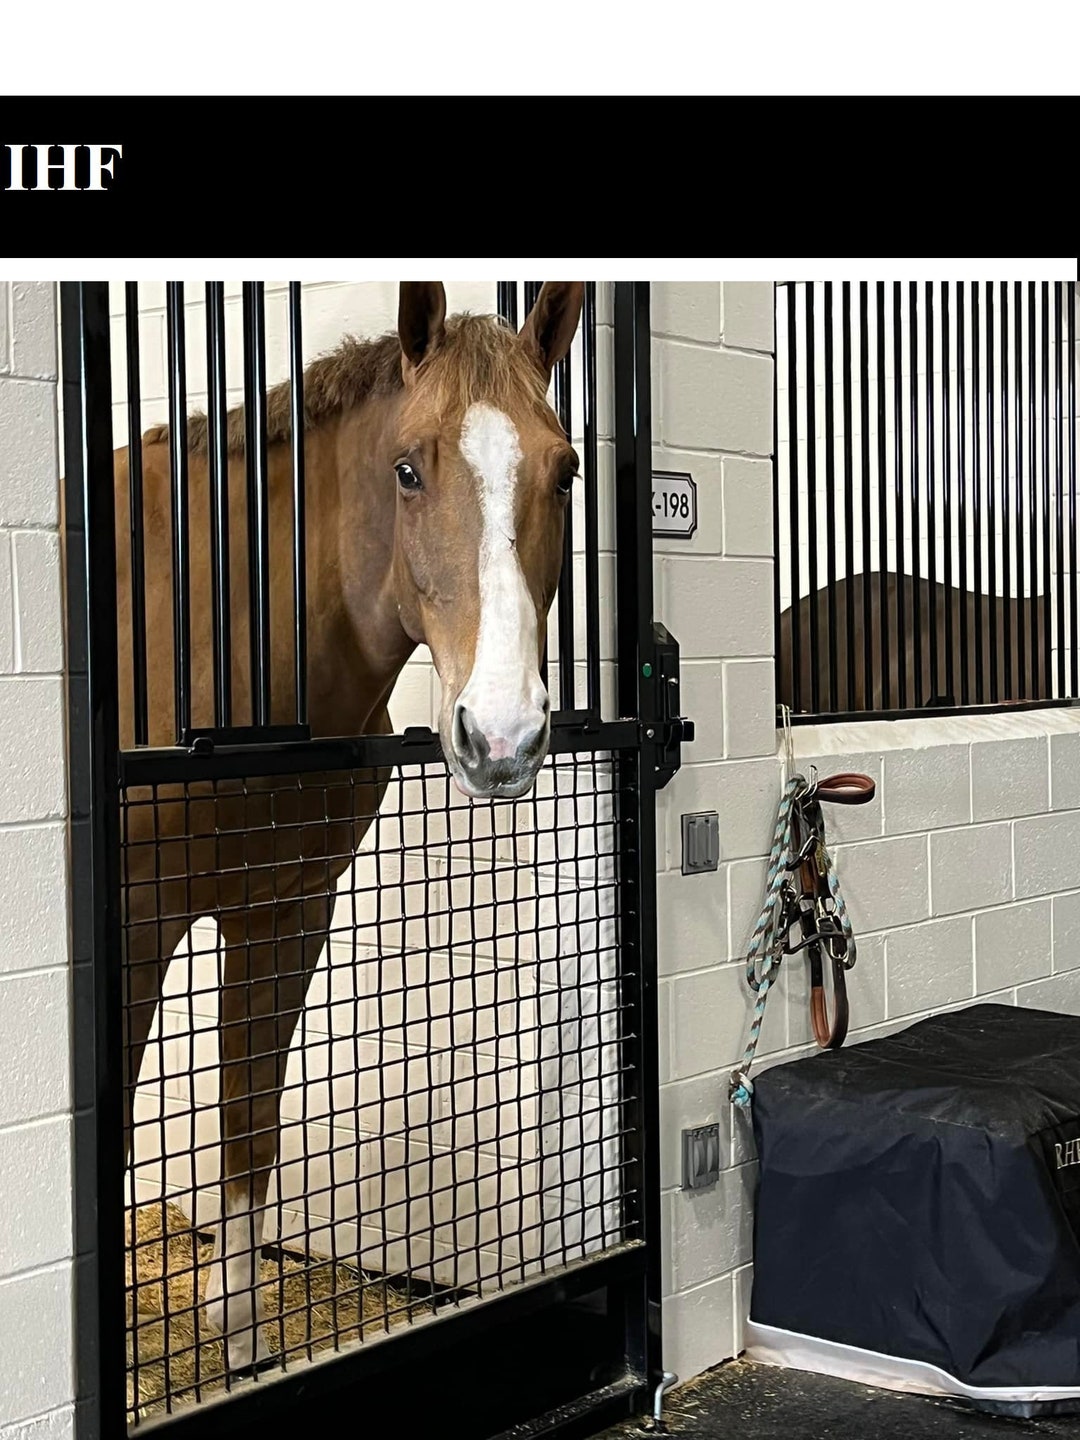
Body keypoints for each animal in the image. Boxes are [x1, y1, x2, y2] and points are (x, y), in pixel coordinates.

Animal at [114, 281, 585, 1372]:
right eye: (408, 468)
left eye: (567, 470)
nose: (502, 736)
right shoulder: (132, 923)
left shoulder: (284, 912)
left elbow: (249, 1121)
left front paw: (241, 1345)